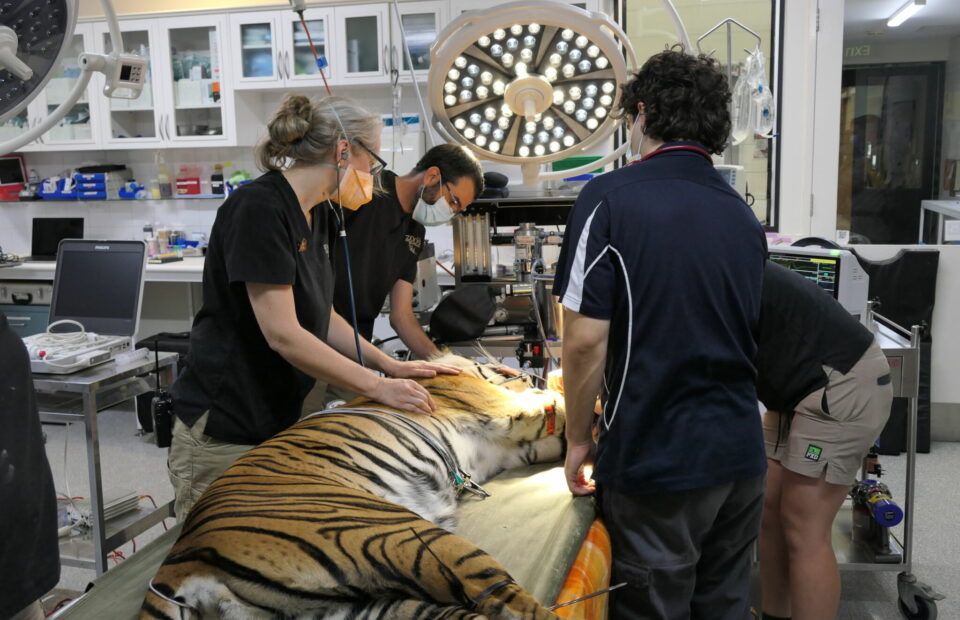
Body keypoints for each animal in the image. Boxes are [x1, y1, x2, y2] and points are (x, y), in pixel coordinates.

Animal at [141, 356, 566, 620]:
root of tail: (180, 558)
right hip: (404, 538)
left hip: (370, 607)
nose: (526, 373)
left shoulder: (520, 446)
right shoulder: (507, 410)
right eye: (502, 366)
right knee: (510, 603)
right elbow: (556, 403)